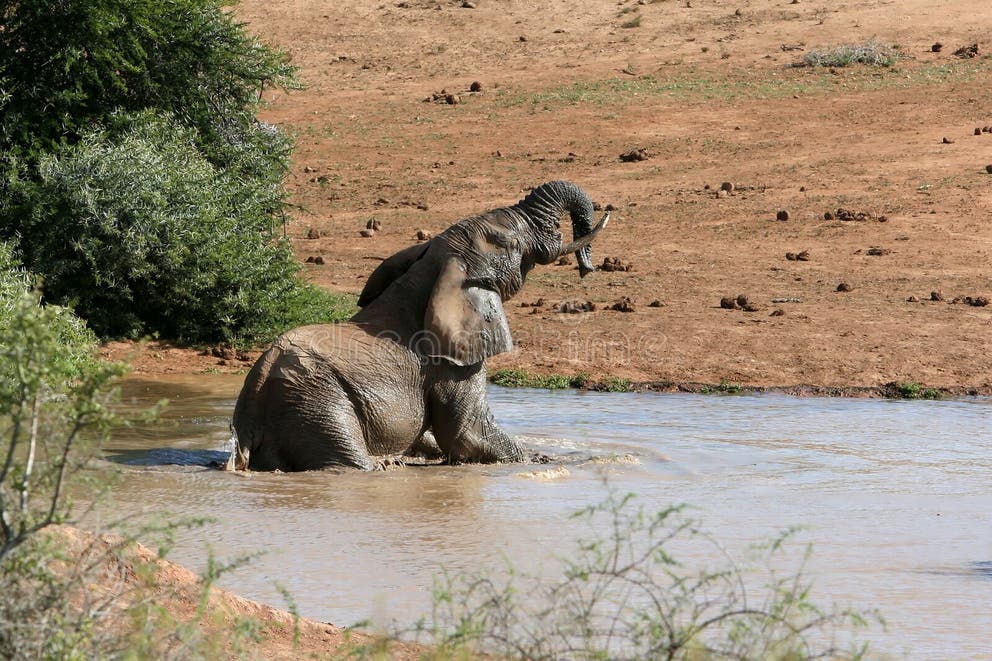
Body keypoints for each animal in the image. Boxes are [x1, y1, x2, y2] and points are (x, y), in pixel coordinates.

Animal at [226, 180, 609, 472]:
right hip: (317, 402)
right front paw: (541, 460)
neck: (432, 272)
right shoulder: (450, 363)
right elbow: (467, 435)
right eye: (513, 243)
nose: (586, 268)